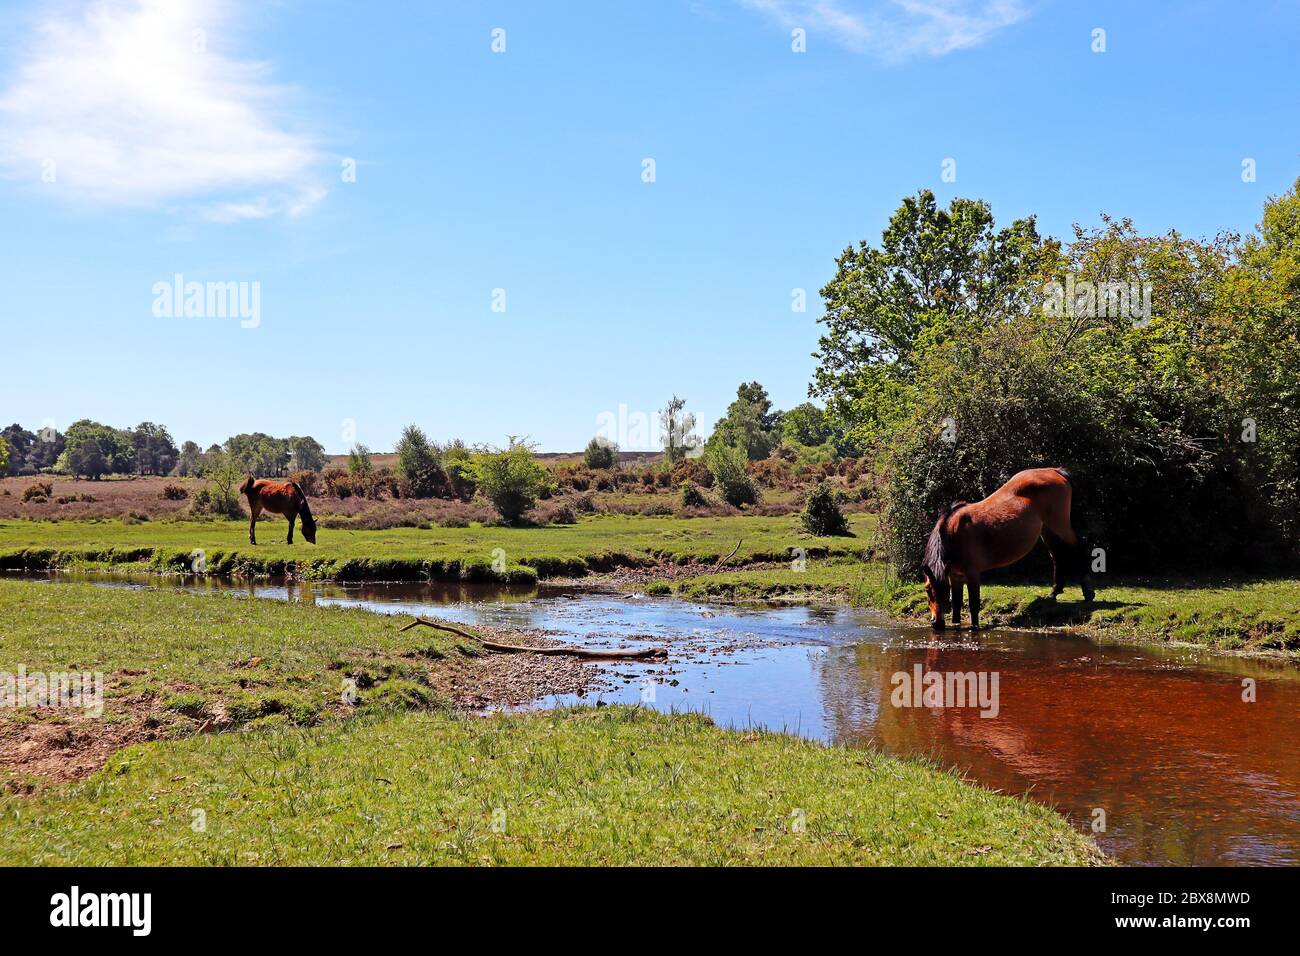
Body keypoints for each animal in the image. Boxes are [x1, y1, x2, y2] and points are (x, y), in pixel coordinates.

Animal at [921, 467, 1094, 631]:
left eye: (944, 590)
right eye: (928, 590)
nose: (937, 623)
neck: (953, 532)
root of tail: (1054, 471)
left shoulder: (972, 573)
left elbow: (974, 604)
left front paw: (974, 628)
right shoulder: (955, 576)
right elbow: (956, 607)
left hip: (1060, 525)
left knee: (1078, 549)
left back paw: (1088, 592)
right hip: (1047, 529)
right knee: (1057, 556)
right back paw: (1055, 591)